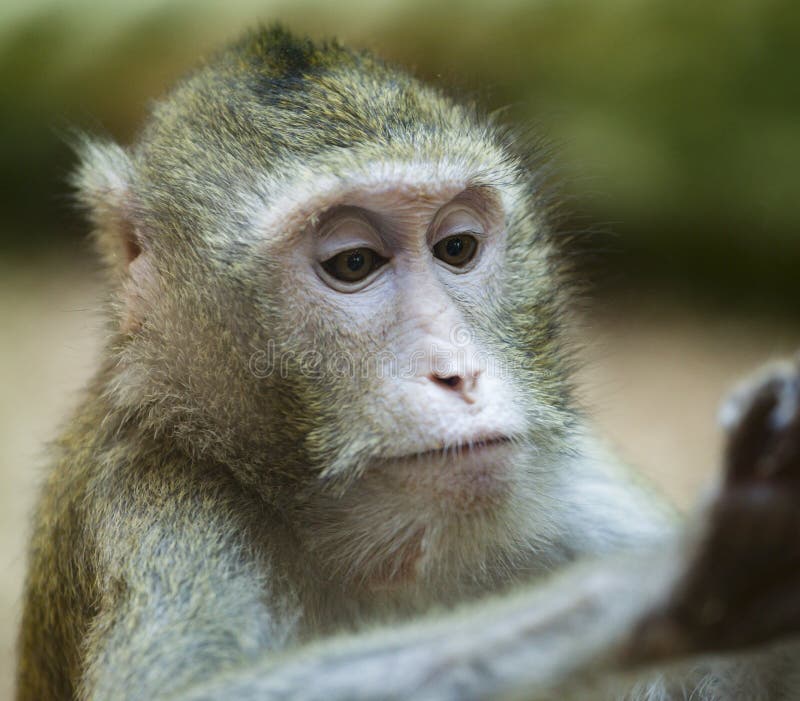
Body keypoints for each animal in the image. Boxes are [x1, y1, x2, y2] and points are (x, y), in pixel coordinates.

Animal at [15, 24, 800, 701]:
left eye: (457, 247)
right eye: (353, 263)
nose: (458, 373)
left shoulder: (579, 489)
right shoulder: (152, 489)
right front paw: (660, 583)